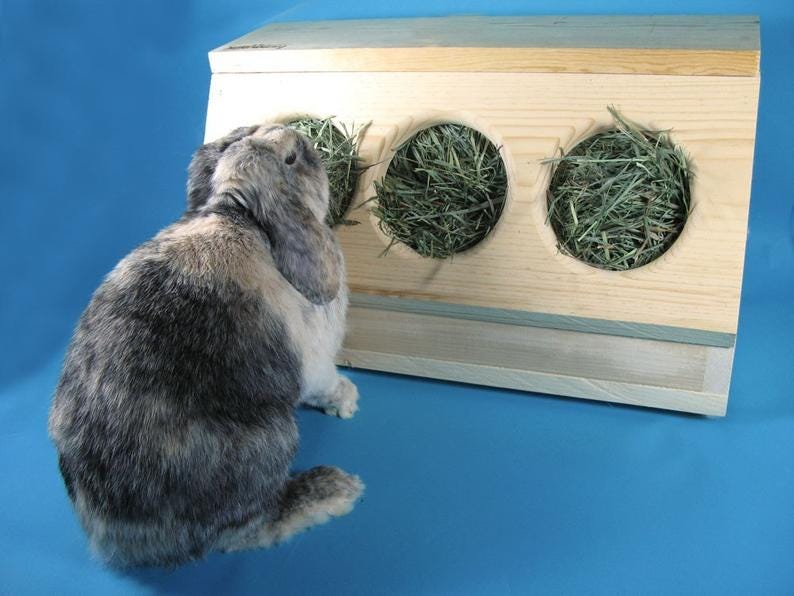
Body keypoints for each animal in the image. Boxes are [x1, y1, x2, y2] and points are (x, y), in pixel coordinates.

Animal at [48, 124, 363, 568]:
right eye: (289, 158)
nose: (303, 138)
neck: (242, 218)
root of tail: (117, 537)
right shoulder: (316, 365)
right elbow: (327, 383)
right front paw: (348, 399)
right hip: (272, 440)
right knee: (247, 530)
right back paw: (333, 490)